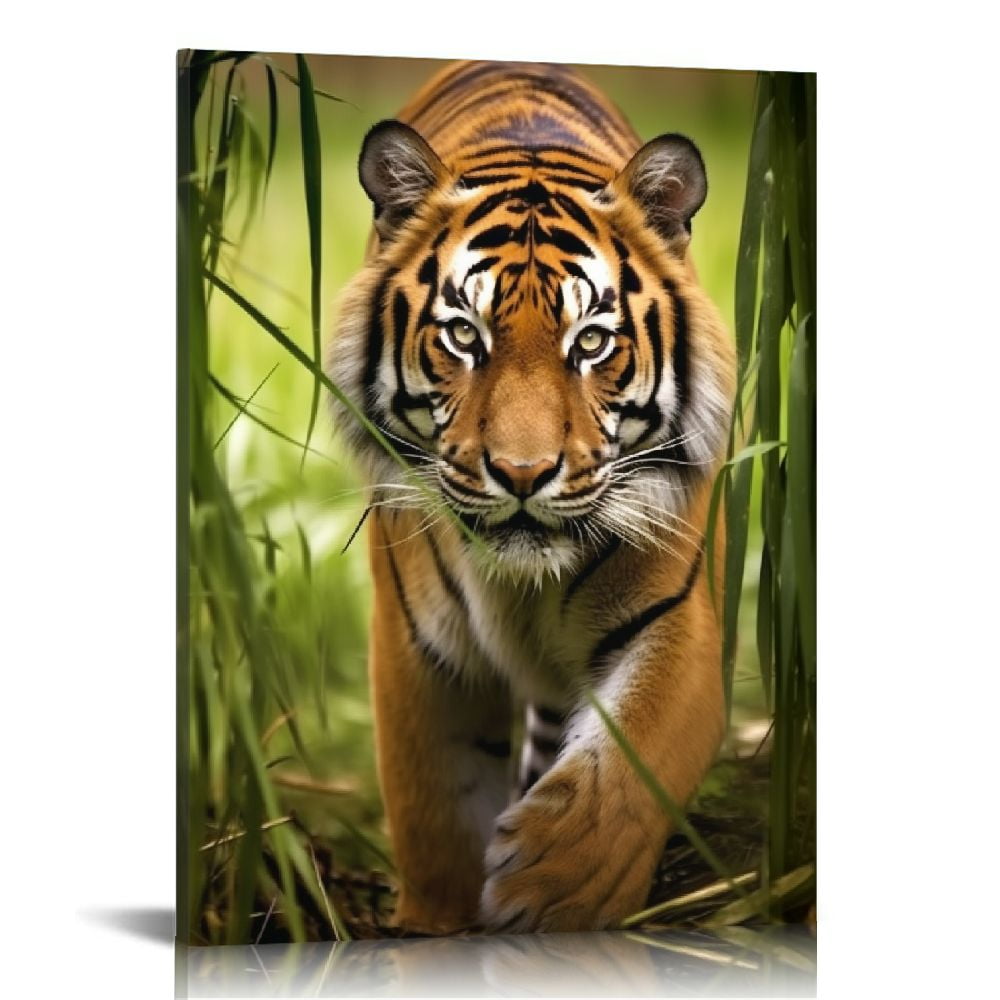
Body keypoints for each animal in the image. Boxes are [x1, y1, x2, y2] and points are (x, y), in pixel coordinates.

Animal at [328, 59, 736, 935]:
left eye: (591, 341)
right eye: (463, 336)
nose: (522, 474)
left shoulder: (678, 620)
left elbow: (633, 763)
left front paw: (555, 884)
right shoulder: (419, 650)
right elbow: (436, 817)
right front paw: (442, 924)